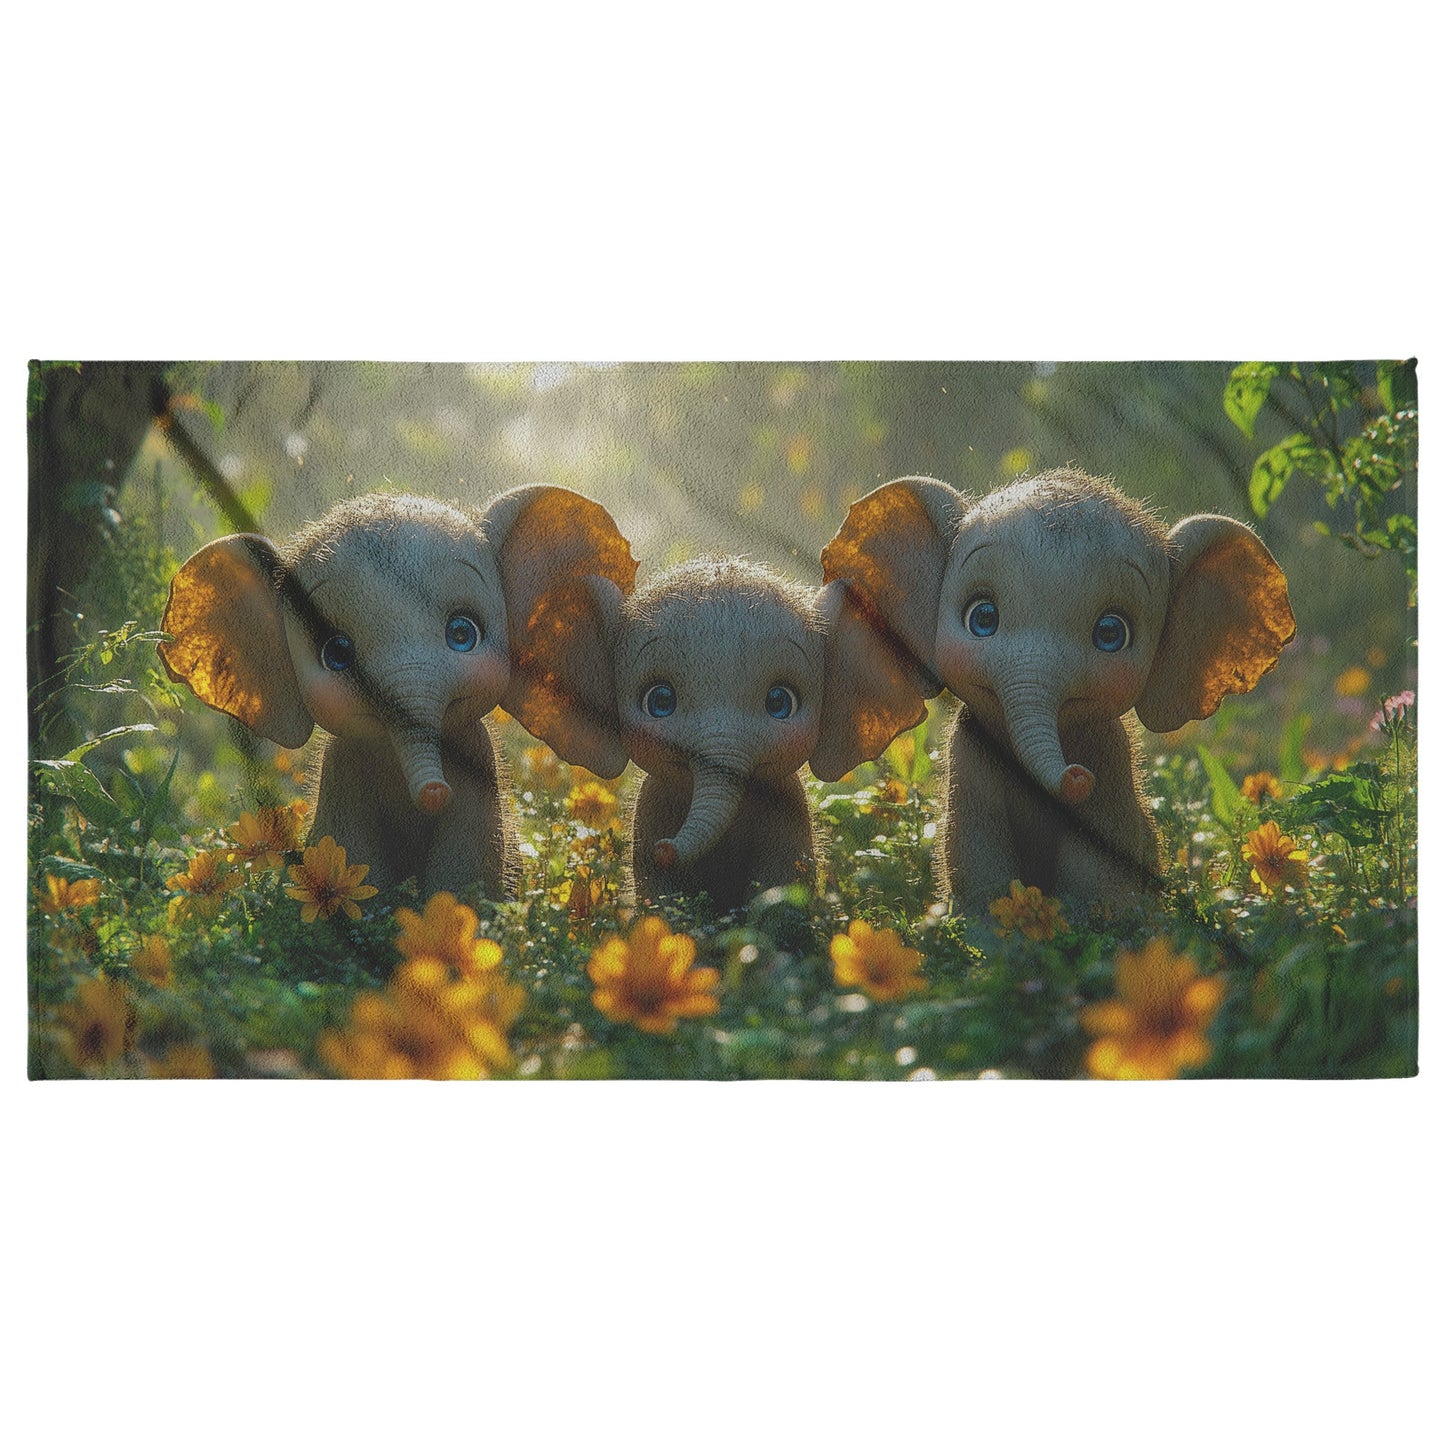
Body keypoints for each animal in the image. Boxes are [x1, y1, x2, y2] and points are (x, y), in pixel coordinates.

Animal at [159, 486, 637, 898]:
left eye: (462, 633)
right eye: (337, 653)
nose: (435, 792)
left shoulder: (476, 761)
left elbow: (464, 864)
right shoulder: (343, 771)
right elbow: (352, 856)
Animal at [528, 555, 893, 914]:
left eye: (779, 702)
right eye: (660, 700)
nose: (664, 849)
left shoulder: (789, 809)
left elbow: (782, 890)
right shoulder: (651, 807)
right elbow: (662, 898)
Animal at [818, 467, 1297, 911]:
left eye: (1111, 633)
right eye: (982, 617)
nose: (1076, 776)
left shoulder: (1110, 757)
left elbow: (1100, 858)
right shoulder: (969, 751)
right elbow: (976, 846)